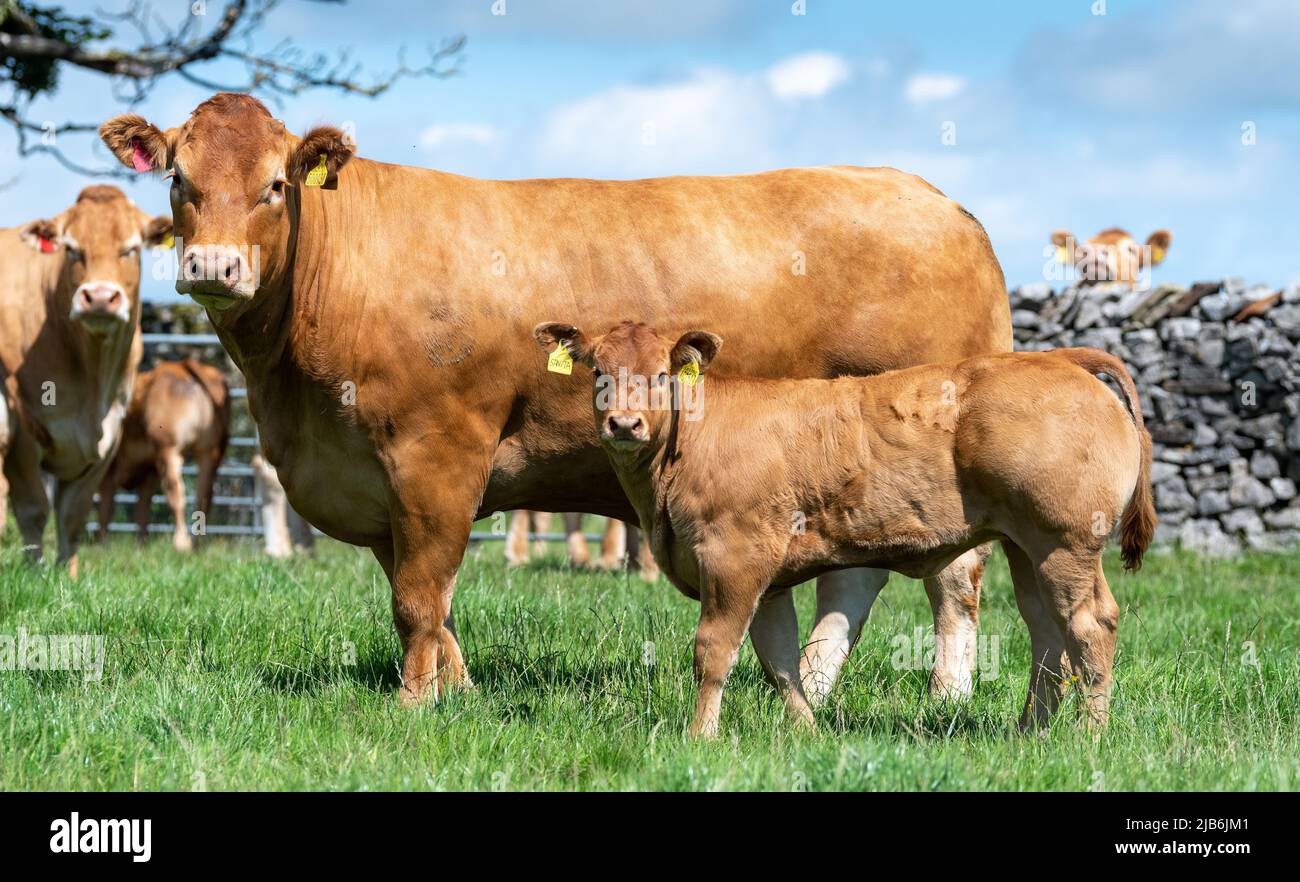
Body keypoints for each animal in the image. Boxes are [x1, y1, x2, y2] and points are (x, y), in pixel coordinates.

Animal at [0, 185, 171, 577]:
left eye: (130, 249)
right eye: (72, 249)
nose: (100, 298)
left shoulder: (109, 438)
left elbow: (72, 514)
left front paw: (69, 573)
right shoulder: (24, 430)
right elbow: (34, 510)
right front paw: (35, 571)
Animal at [95, 358, 230, 551]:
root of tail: (184, 365)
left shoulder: (110, 472)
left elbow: (107, 507)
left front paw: (101, 544)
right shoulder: (148, 473)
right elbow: (141, 508)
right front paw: (141, 544)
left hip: (169, 450)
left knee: (176, 495)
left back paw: (181, 543)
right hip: (210, 452)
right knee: (204, 496)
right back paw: (197, 544)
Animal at [536, 320, 1155, 736]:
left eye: (663, 374)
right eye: (598, 373)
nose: (624, 424)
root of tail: (1057, 359)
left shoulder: (735, 557)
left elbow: (715, 651)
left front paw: (700, 737)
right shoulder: (769, 576)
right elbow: (779, 659)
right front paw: (806, 732)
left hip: (1064, 541)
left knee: (1090, 624)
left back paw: (1089, 734)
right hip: (1026, 545)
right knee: (1047, 631)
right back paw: (1032, 732)